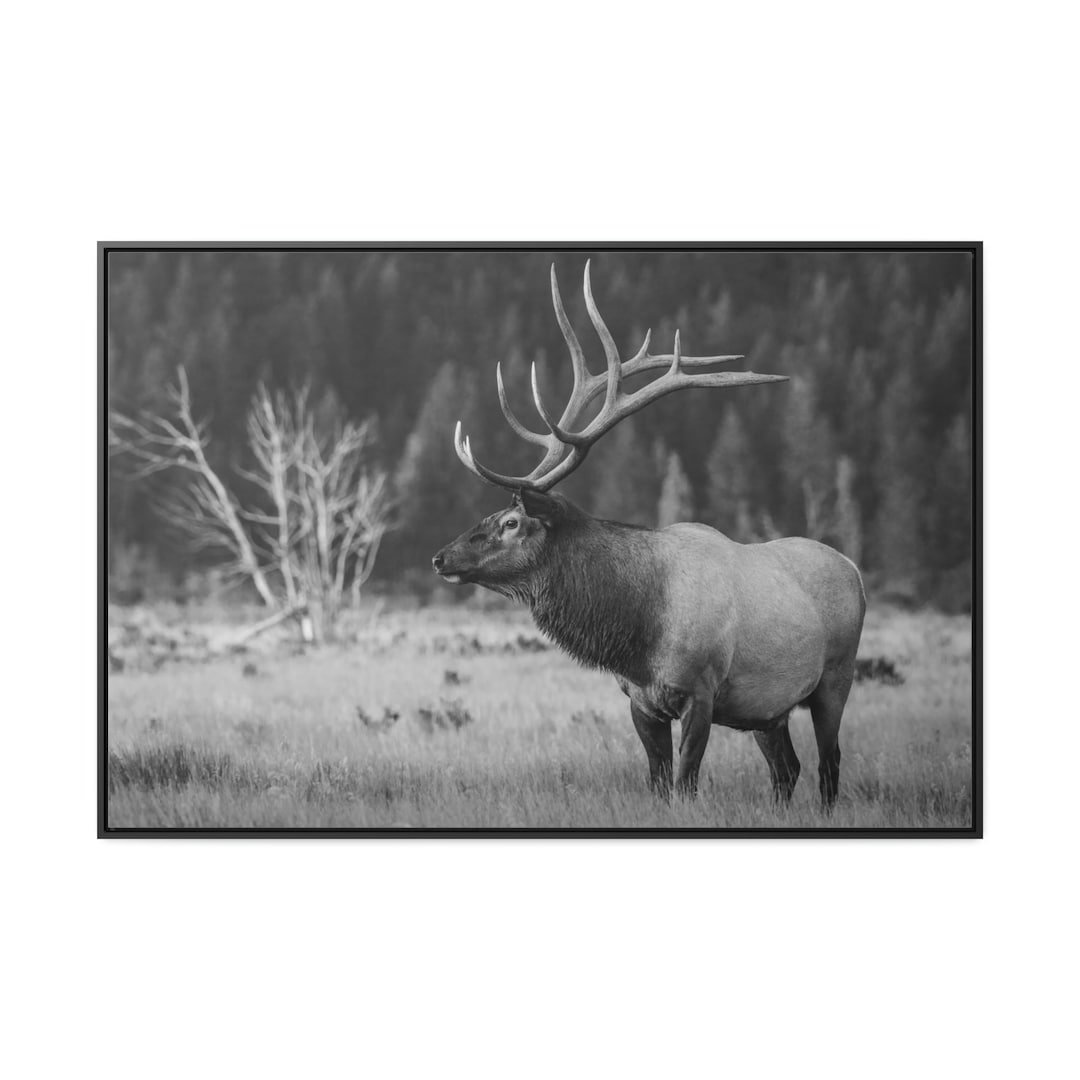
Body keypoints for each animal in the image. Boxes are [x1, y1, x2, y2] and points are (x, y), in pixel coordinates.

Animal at [432, 262, 866, 807]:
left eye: (511, 523)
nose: (440, 557)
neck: (638, 632)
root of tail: (855, 570)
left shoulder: (702, 690)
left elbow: (686, 782)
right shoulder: (640, 701)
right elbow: (659, 784)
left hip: (835, 676)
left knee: (830, 764)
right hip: (769, 707)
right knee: (787, 769)